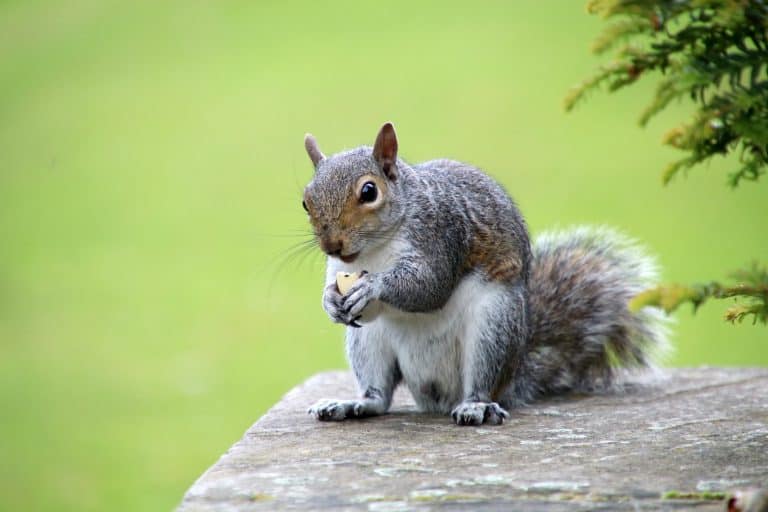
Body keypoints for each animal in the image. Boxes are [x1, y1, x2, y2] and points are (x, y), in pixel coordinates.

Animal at [302, 122, 667, 426]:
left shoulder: (441, 236)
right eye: (306, 201)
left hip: (492, 327)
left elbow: (429, 287)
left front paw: (374, 286)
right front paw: (329, 300)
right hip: (368, 340)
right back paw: (354, 404)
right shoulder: (341, 269)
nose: (332, 245)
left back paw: (476, 406)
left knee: (481, 383)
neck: (375, 250)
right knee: (379, 395)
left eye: (369, 192)